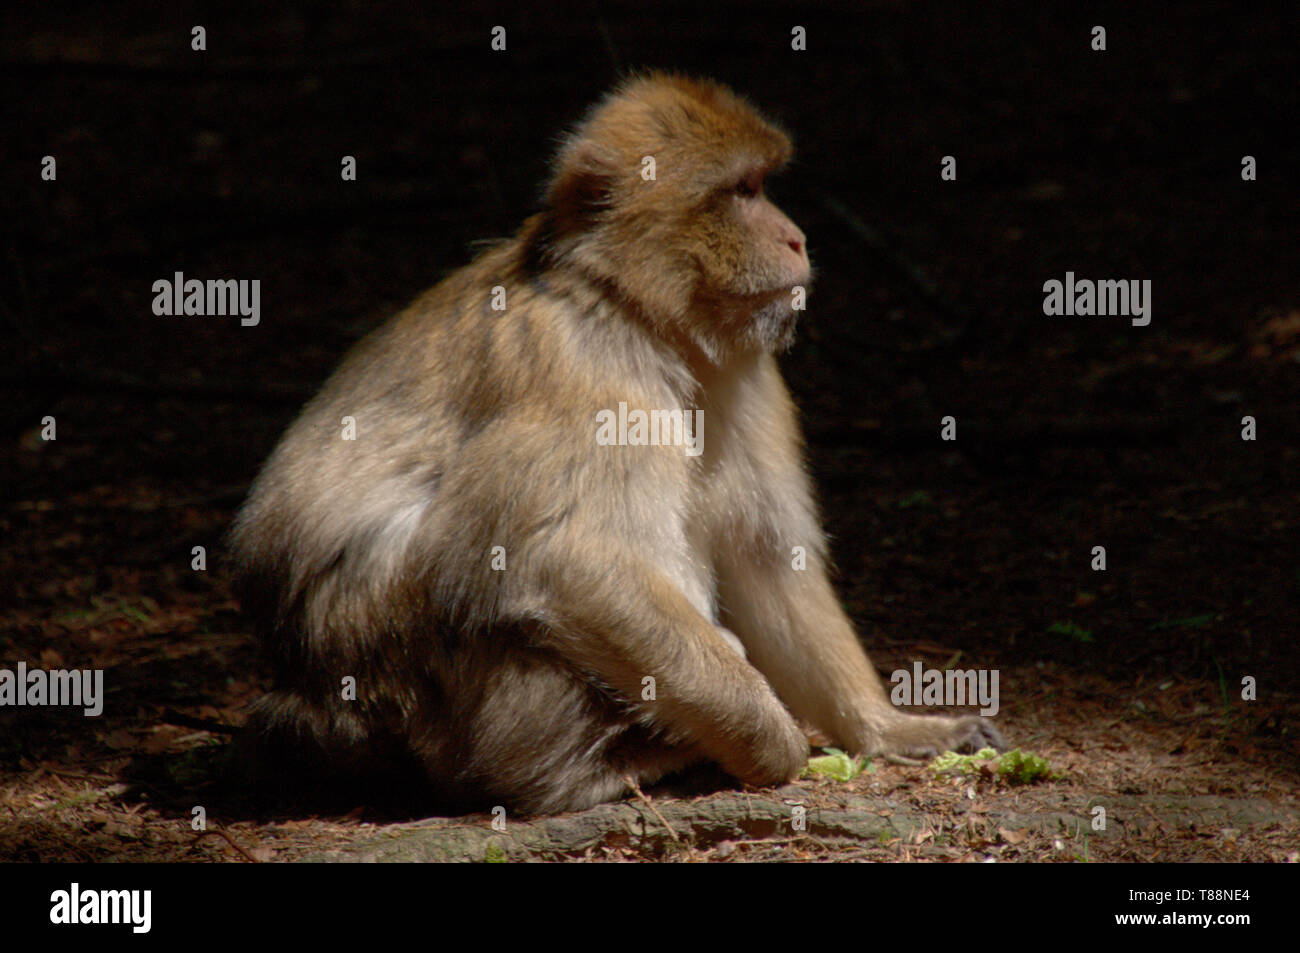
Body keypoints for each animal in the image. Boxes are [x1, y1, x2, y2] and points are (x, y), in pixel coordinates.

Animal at [229, 72, 1004, 815]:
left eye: (763, 183)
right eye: (743, 190)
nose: (797, 237)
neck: (638, 313)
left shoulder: (746, 371)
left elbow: (766, 558)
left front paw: (887, 728)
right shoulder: (582, 372)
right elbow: (569, 559)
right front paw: (777, 743)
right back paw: (578, 774)